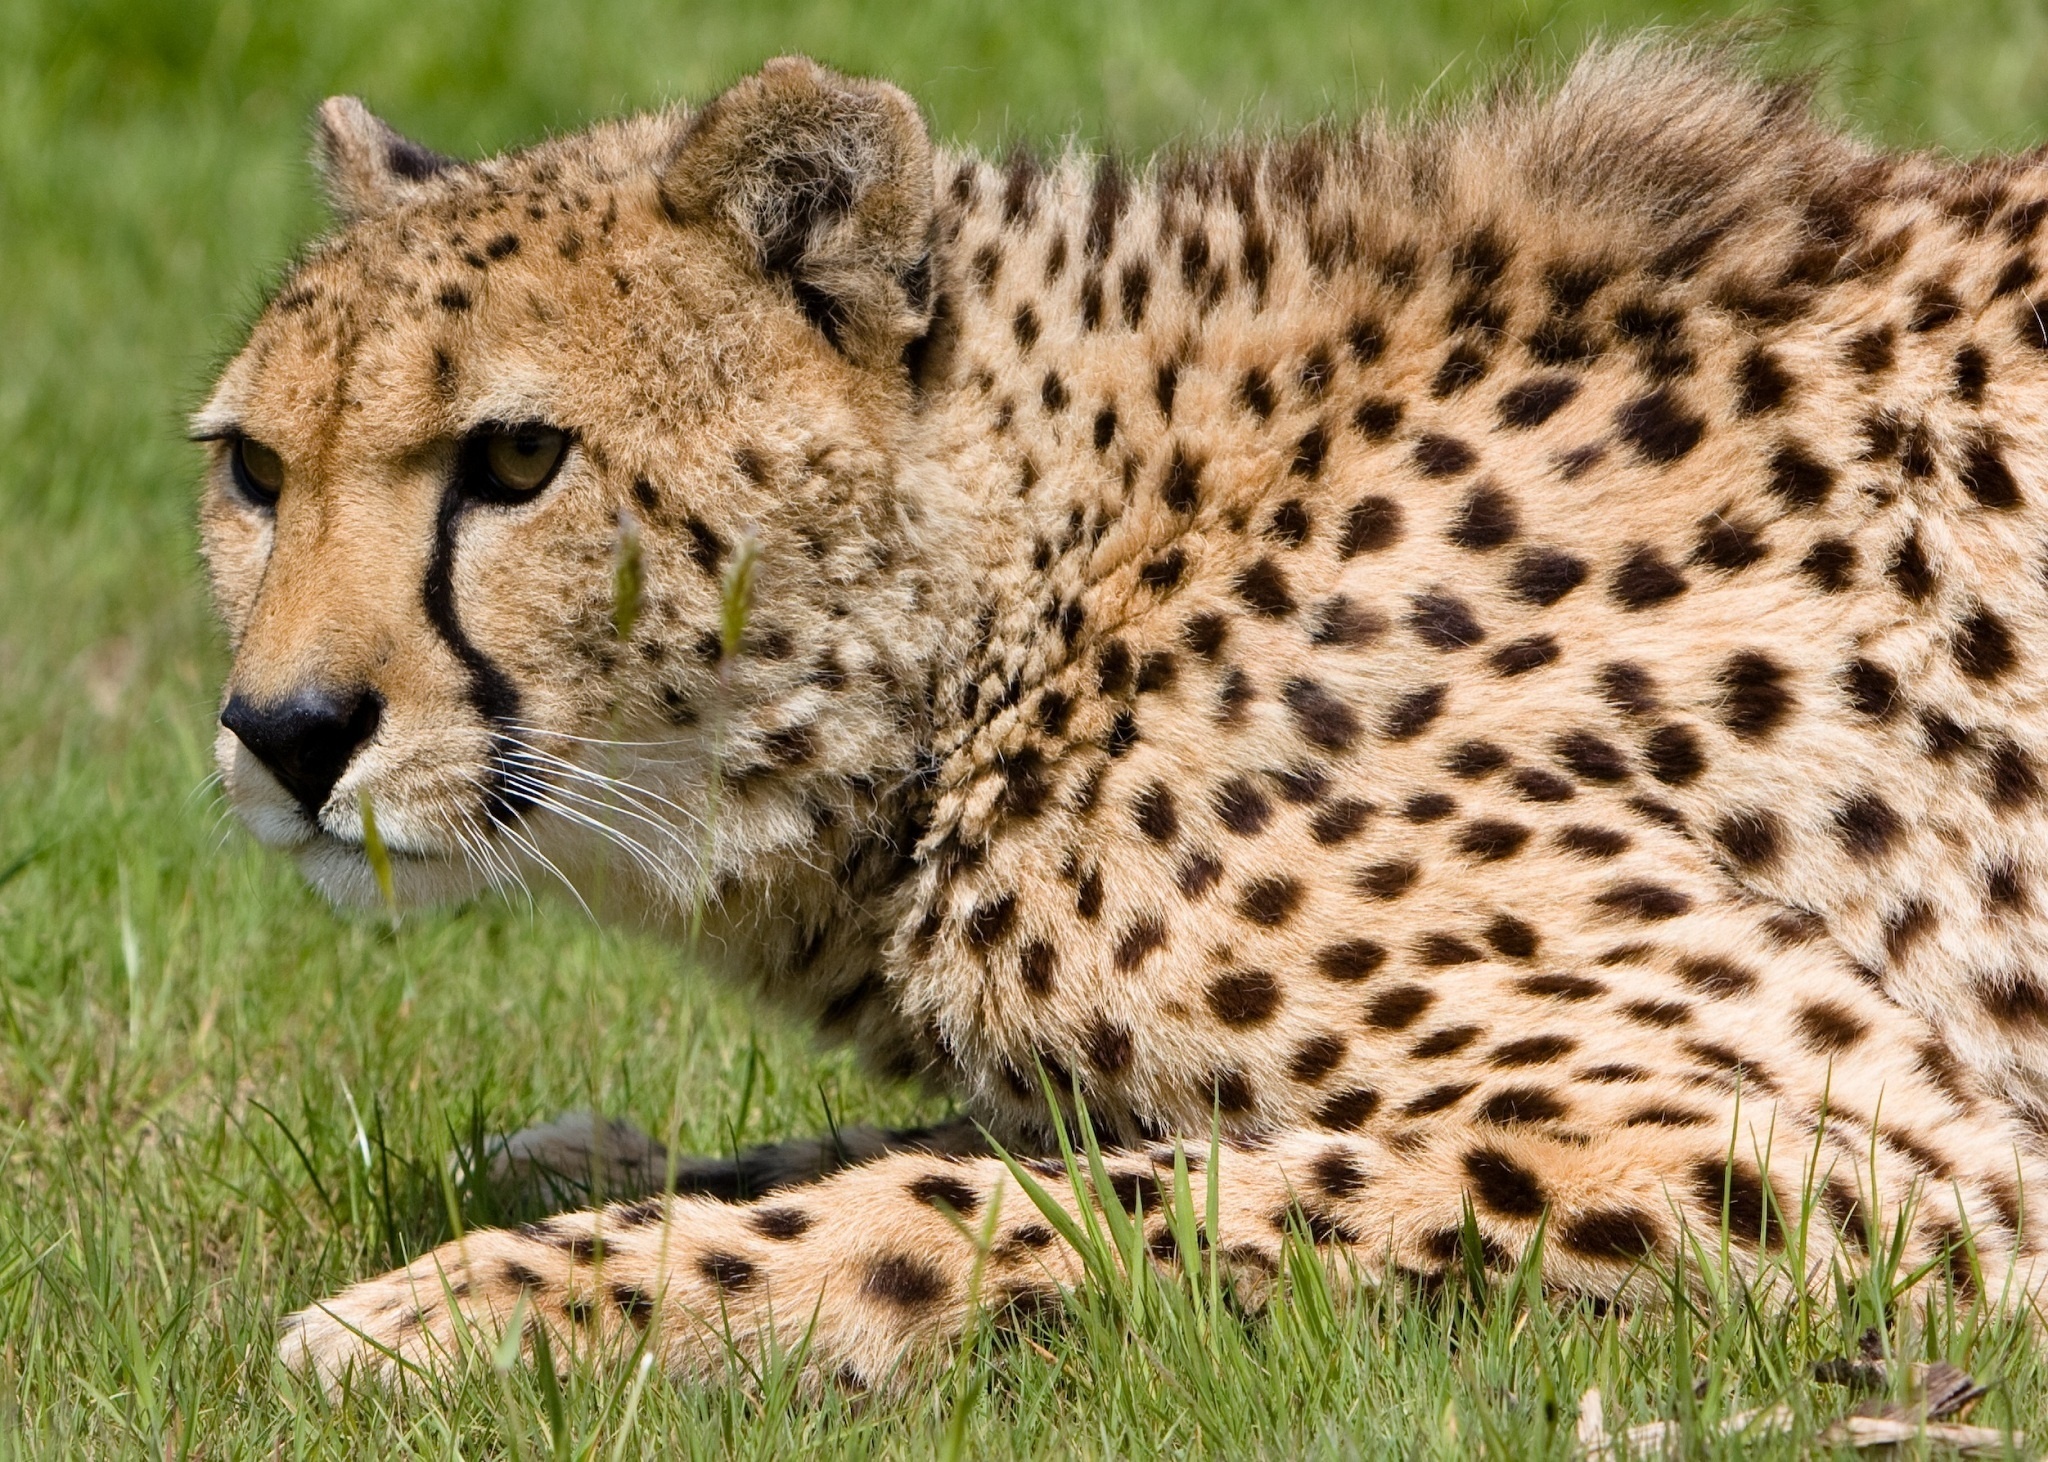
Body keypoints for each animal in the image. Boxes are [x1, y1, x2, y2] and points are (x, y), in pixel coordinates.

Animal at [193, 40, 2048, 1392]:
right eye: (253, 469)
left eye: (518, 457)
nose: (284, 733)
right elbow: (956, 1139)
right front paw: (580, 1161)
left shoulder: (1860, 1146)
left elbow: (1038, 1200)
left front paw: (460, 1310)